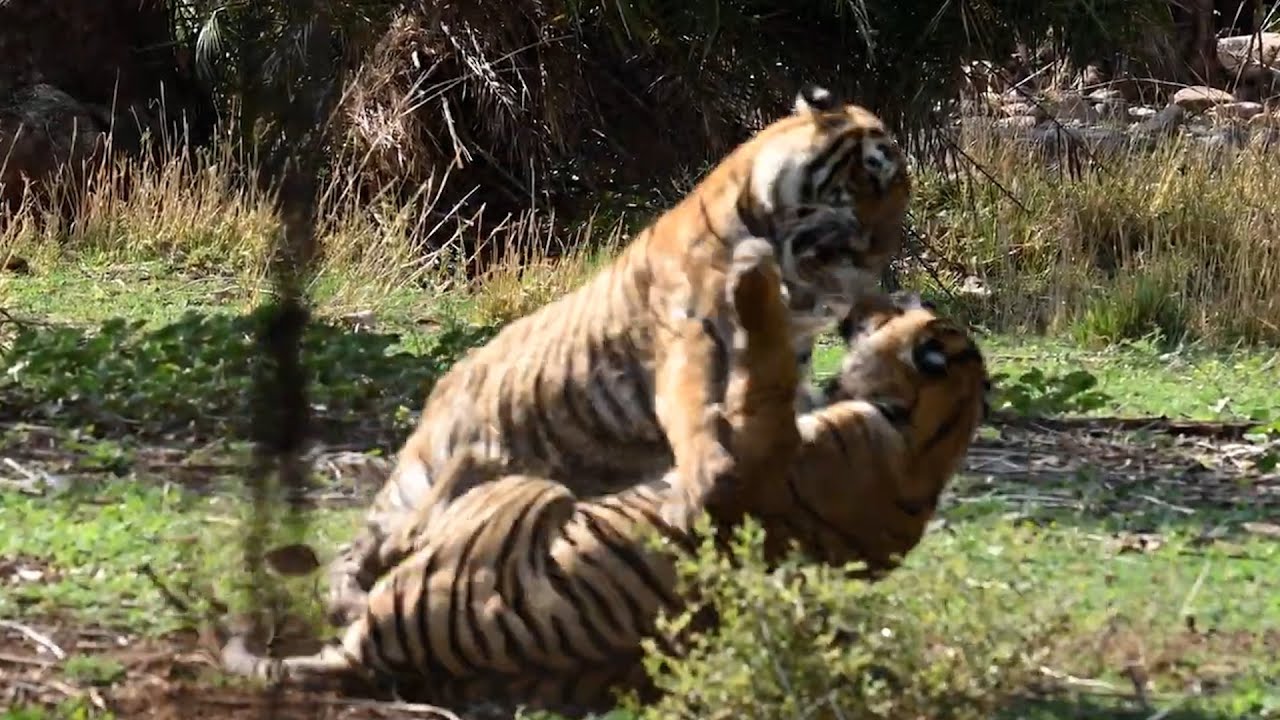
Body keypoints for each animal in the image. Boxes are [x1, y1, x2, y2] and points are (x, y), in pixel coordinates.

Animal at [217, 271, 991, 714]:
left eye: (889, 314)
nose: (865, 301)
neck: (929, 440)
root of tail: (381, 655)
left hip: (528, 491)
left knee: (422, 517)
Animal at [324, 83, 912, 627]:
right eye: (869, 179)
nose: (883, 250)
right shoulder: (689, 336)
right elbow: (695, 415)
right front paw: (705, 482)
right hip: (431, 473)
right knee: (383, 544)